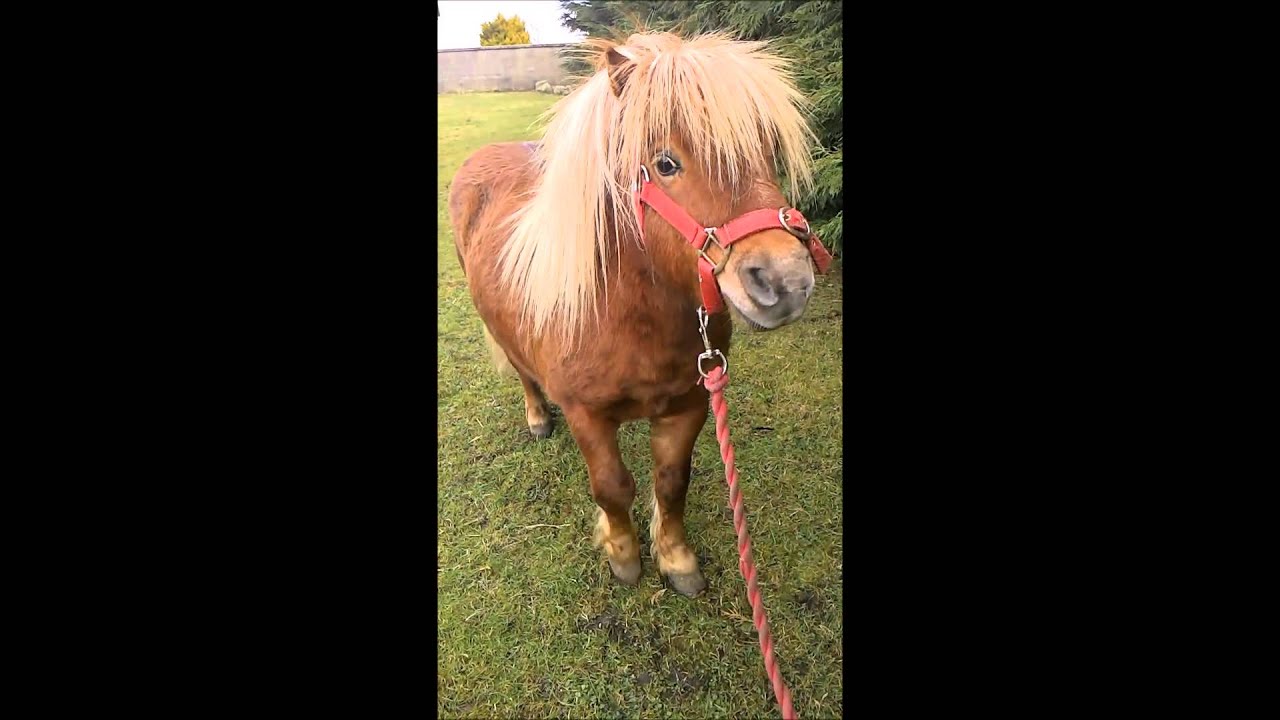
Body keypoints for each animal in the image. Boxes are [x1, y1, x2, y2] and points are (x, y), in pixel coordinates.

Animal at [447, 31, 832, 597]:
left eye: (768, 150)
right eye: (666, 163)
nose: (786, 282)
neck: (630, 316)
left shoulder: (689, 404)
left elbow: (671, 483)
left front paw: (676, 560)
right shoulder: (586, 414)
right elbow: (612, 487)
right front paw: (624, 554)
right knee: (521, 371)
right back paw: (537, 416)